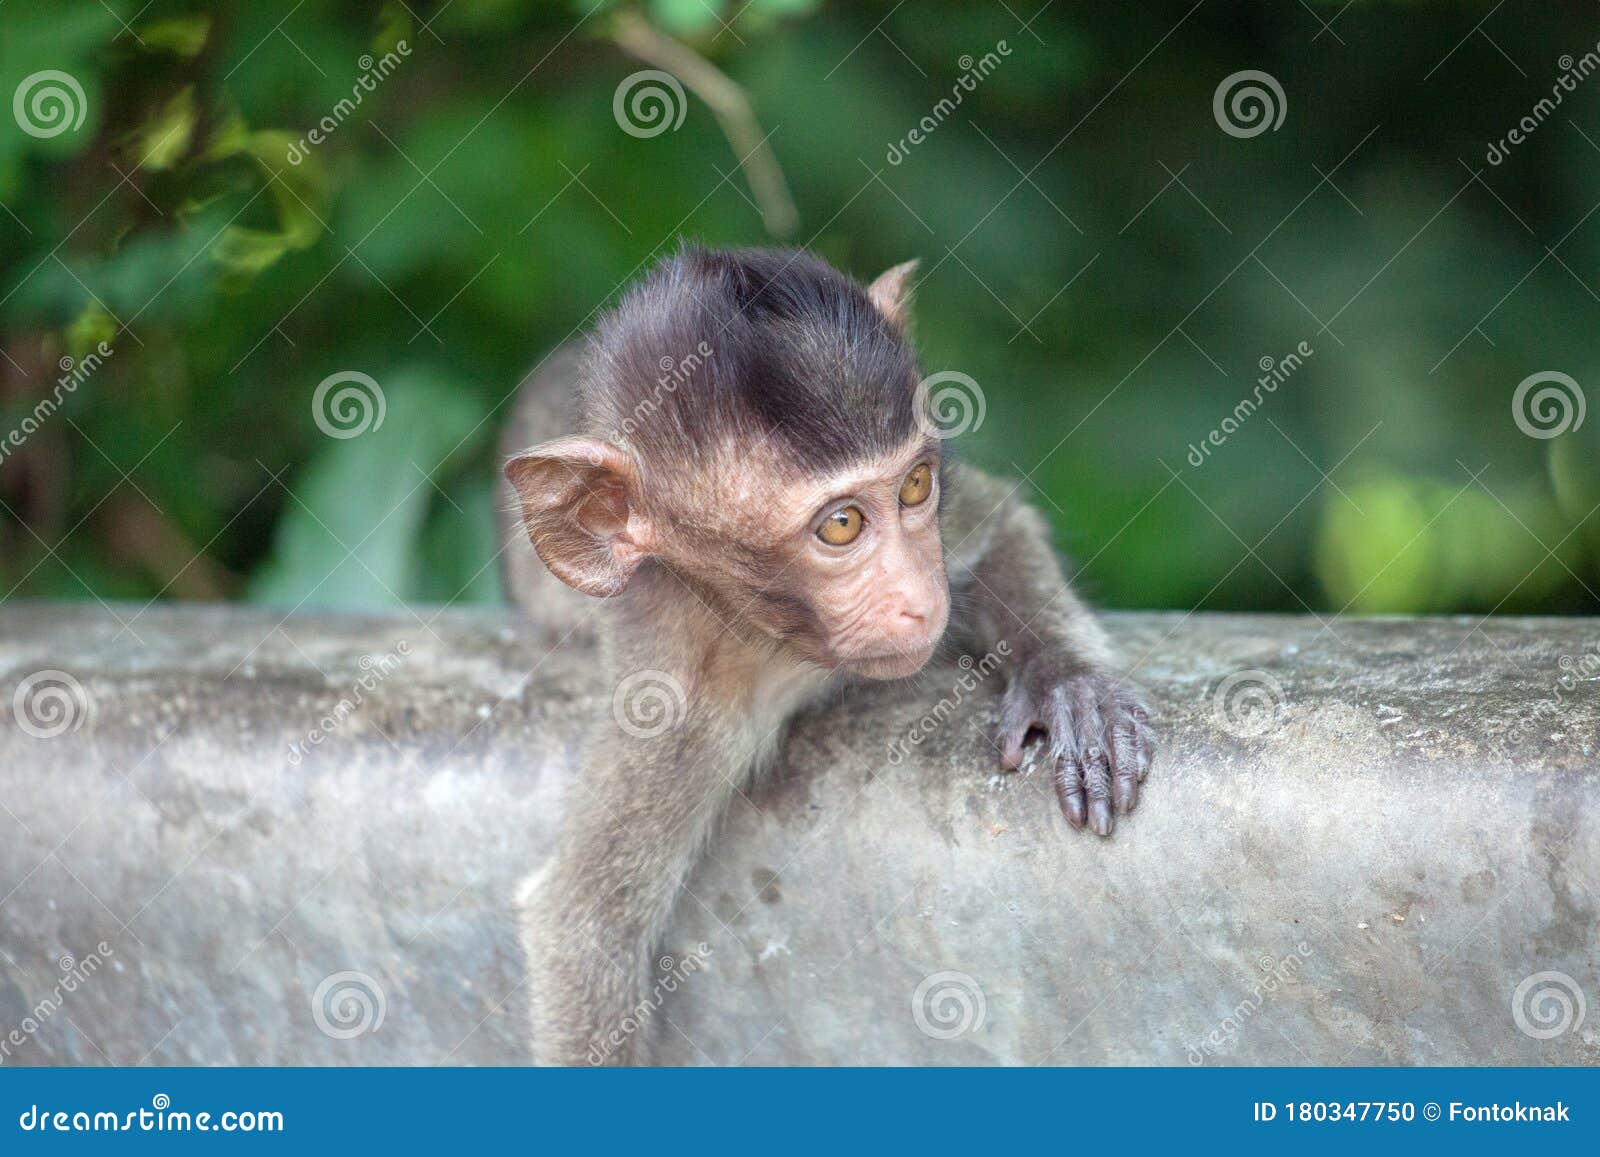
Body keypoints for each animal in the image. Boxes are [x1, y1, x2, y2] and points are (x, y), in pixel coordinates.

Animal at [498, 246, 1154, 1066]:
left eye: (915, 485)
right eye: (841, 525)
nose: (920, 598)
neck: (781, 637)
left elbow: (1003, 520)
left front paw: (1071, 690)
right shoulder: (678, 707)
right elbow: (583, 927)